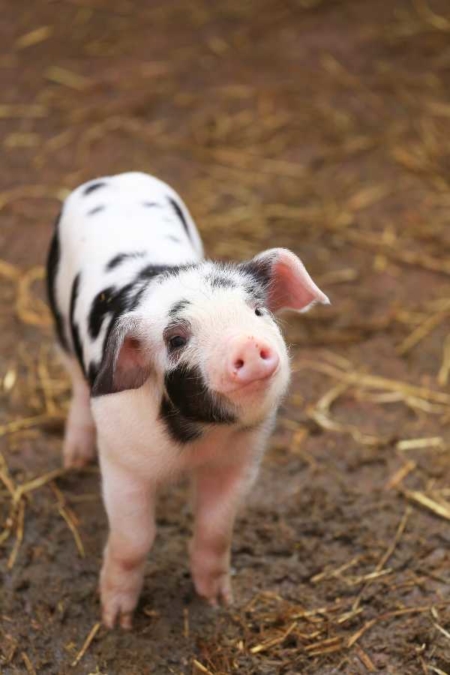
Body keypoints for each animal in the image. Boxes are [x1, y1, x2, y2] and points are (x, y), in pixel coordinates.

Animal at [46, 171, 329, 629]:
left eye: (257, 311)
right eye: (176, 339)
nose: (248, 345)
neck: (198, 438)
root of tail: (114, 177)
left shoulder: (239, 461)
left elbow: (215, 530)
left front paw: (217, 601)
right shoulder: (123, 463)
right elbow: (134, 539)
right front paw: (116, 620)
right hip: (56, 311)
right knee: (73, 380)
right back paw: (73, 459)